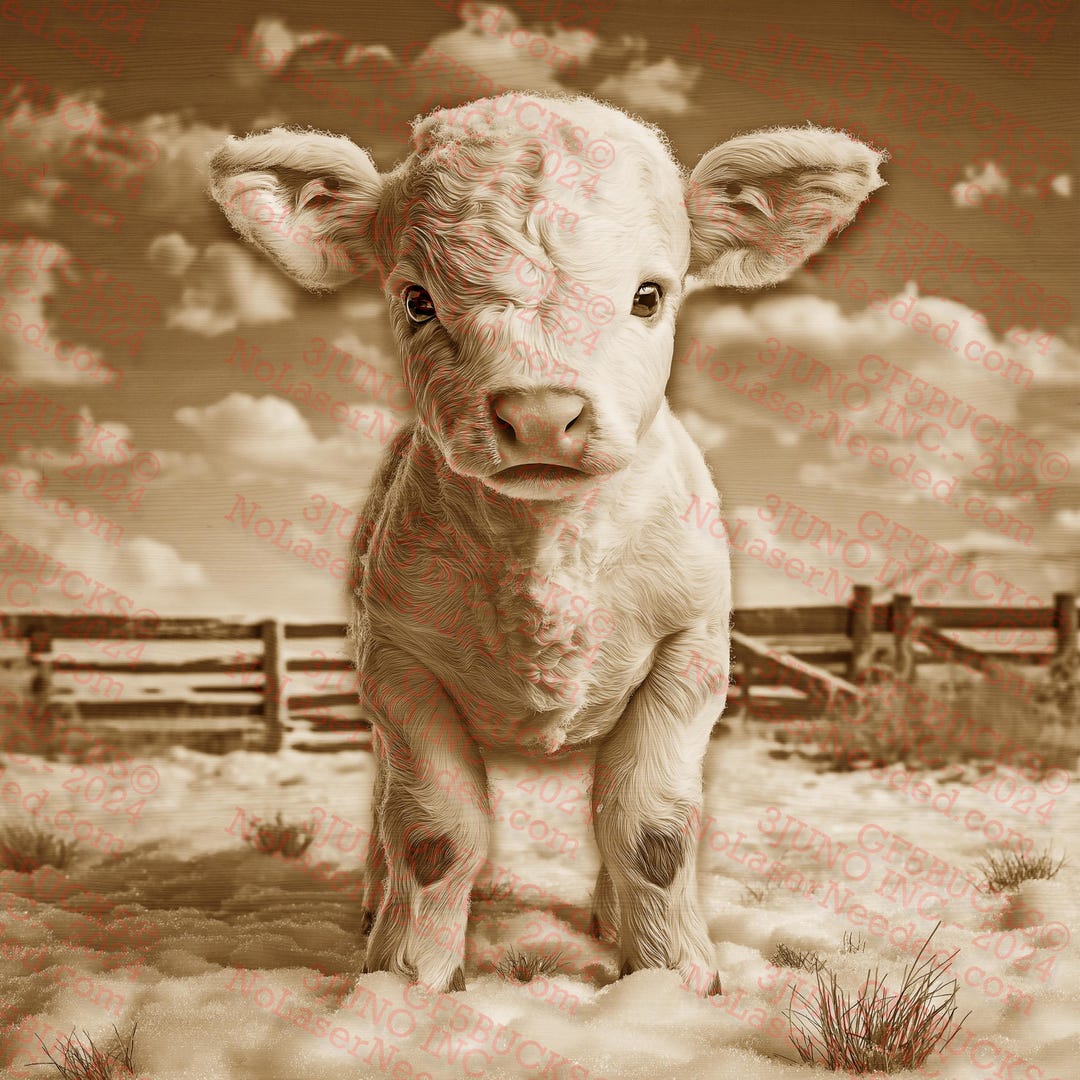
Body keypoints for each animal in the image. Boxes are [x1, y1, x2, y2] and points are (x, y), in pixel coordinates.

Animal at [208, 92, 885, 995]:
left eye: (648, 296)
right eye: (416, 300)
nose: (538, 414)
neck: (548, 556)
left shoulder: (693, 651)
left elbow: (651, 830)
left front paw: (672, 977)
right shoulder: (396, 663)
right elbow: (433, 831)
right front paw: (408, 977)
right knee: (386, 805)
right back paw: (374, 905)